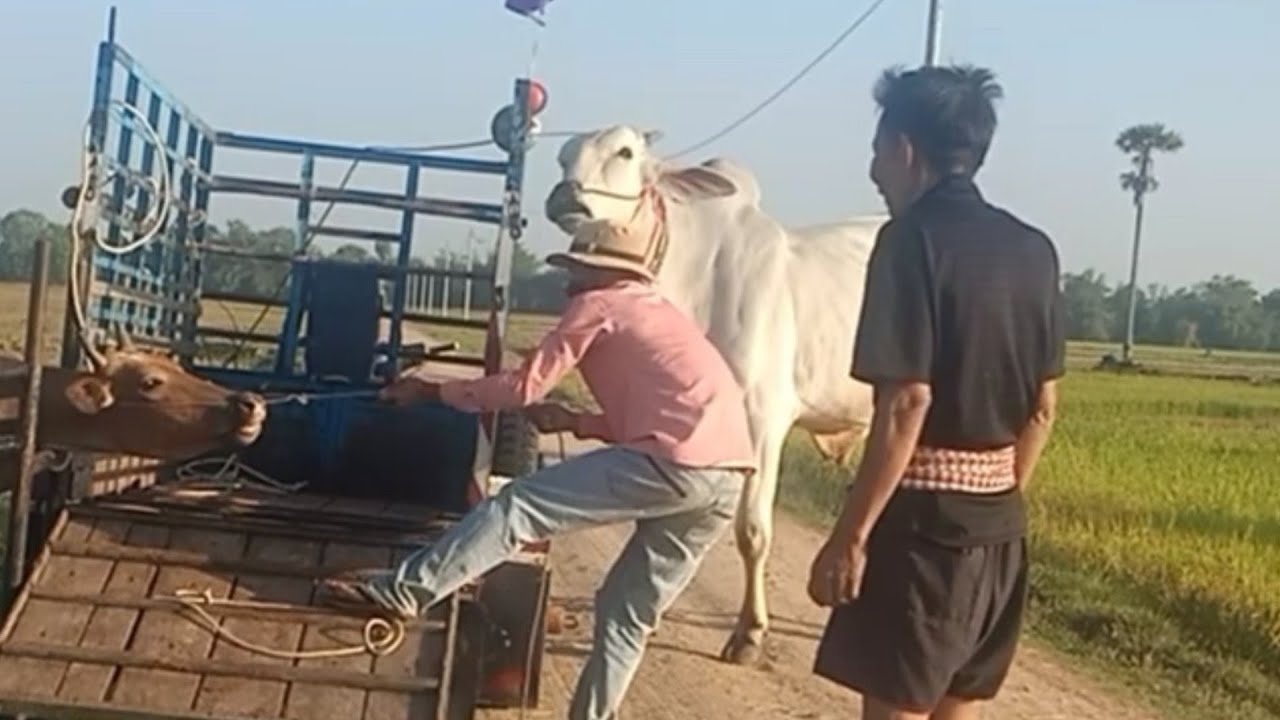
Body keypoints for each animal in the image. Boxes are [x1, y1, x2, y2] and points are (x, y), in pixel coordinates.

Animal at [544, 125, 888, 665]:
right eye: (562, 156)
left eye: (626, 151)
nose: (564, 197)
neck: (694, 282)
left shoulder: (763, 422)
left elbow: (752, 532)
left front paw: (749, 633)